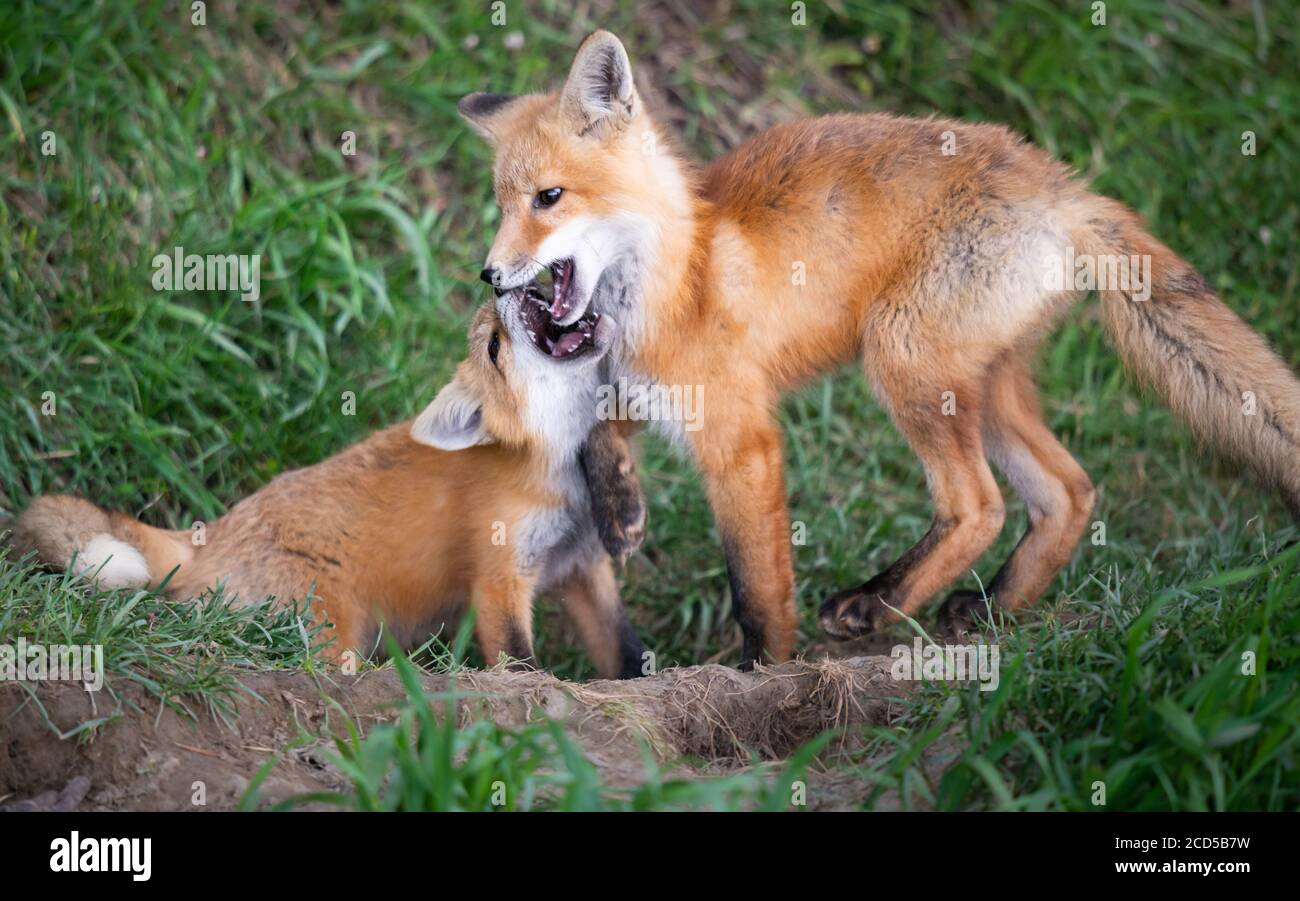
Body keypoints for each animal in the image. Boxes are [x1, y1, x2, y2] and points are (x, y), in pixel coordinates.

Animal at [8, 288, 649, 679]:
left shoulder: (582, 566)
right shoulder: (499, 578)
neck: (556, 474)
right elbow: (518, 663)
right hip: (329, 635)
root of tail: (211, 534)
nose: (500, 287)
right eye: (493, 347)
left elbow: (623, 648)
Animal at [458, 30, 1300, 666]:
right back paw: (989, 610)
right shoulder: (655, 390)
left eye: (549, 198)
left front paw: (763, 672)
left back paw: (877, 603)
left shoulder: (741, 435)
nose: (491, 274)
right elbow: (597, 431)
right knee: (1068, 489)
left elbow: (756, 587)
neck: (677, 275)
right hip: (984, 386)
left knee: (979, 504)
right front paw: (621, 513)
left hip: (902, 360)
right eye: (499, 204)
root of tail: (1063, 187)